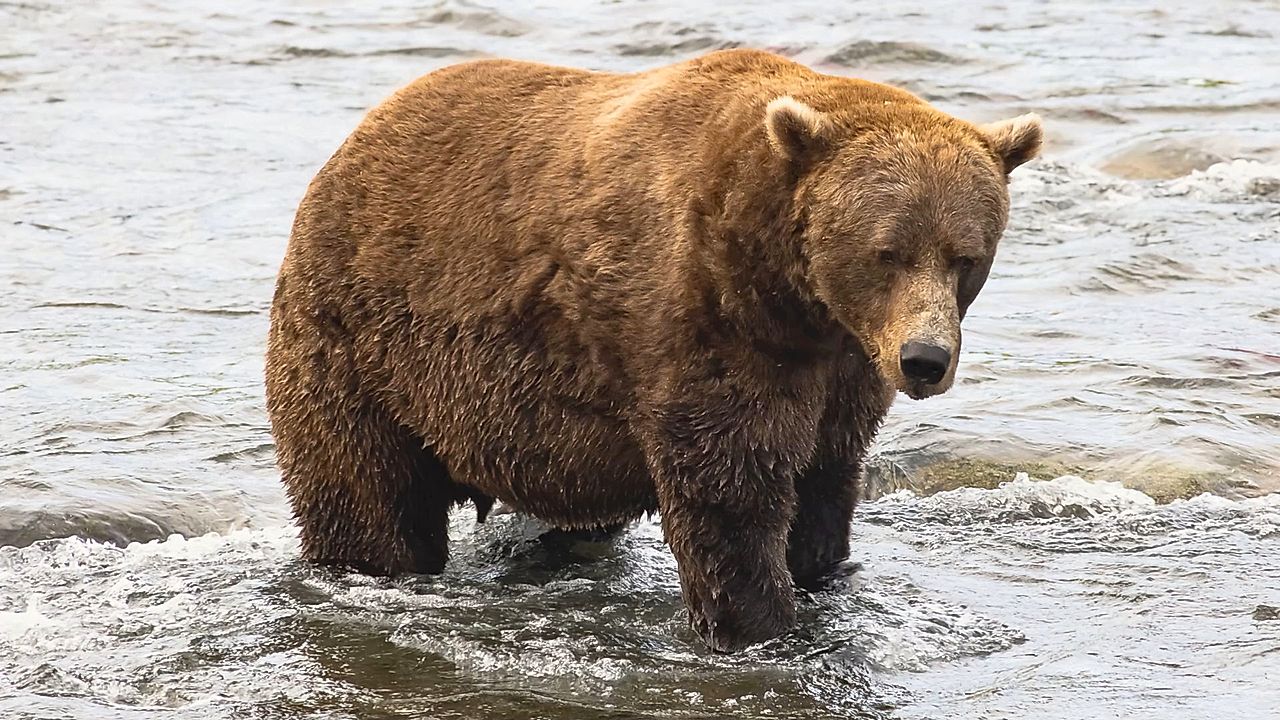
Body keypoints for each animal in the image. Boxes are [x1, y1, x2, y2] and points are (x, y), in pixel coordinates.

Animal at [265, 48, 1042, 653]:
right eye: (888, 252)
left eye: (965, 256)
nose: (924, 359)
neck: (793, 294)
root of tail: (354, 140)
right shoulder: (709, 323)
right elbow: (731, 488)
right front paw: (761, 625)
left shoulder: (842, 370)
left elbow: (824, 480)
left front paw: (821, 574)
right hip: (365, 343)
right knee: (366, 491)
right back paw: (369, 566)